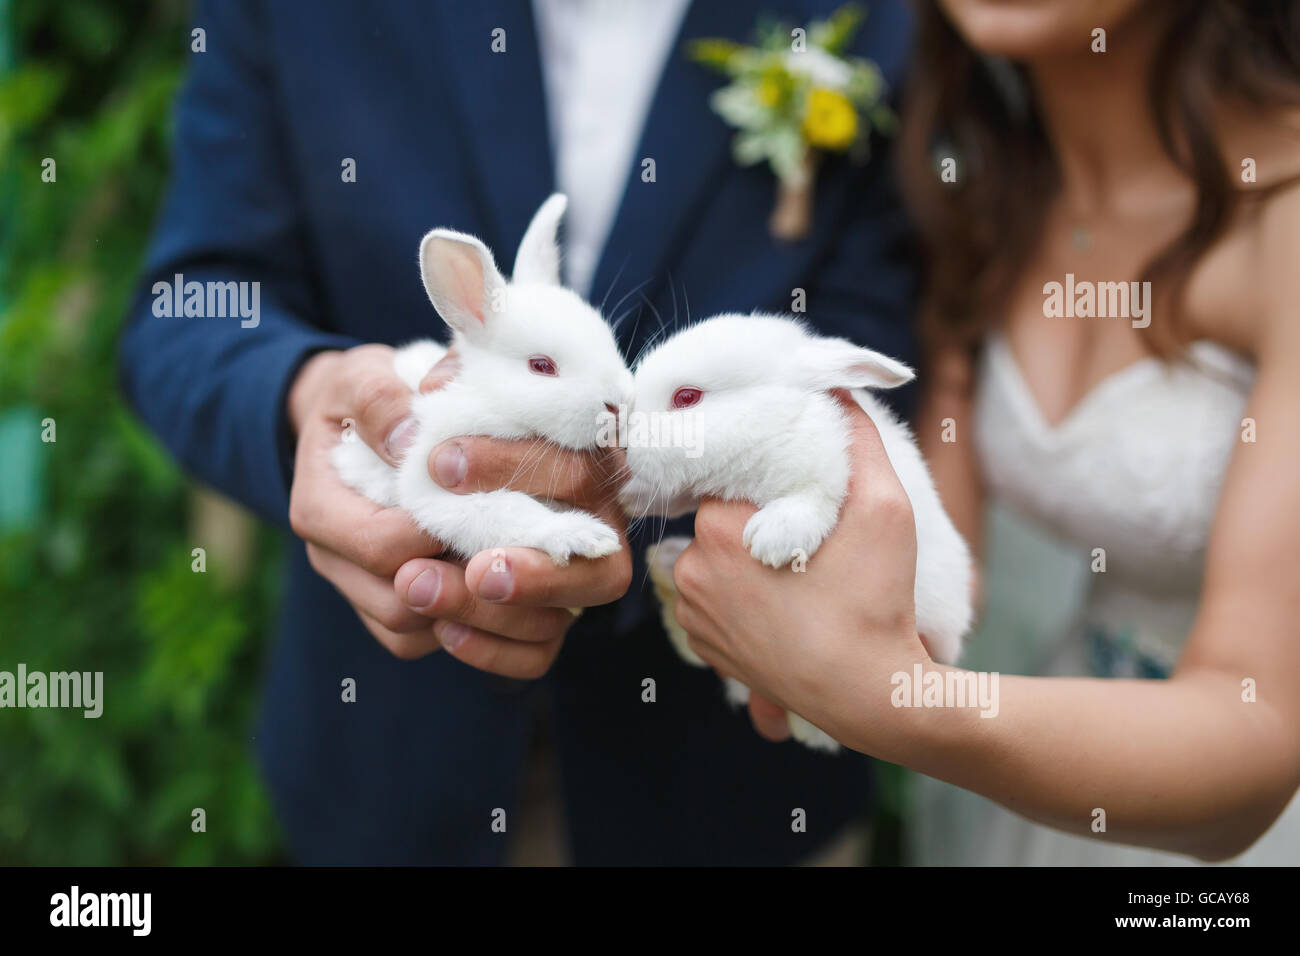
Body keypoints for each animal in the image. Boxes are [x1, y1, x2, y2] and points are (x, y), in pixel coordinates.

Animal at [332, 194, 633, 566]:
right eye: (541, 365)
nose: (619, 404)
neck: (490, 401)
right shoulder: (432, 480)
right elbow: (508, 509)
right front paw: (585, 536)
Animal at [621, 314, 974, 751]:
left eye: (686, 397)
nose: (620, 441)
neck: (774, 421)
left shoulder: (822, 461)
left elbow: (816, 494)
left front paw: (773, 539)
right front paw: (631, 497)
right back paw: (665, 564)